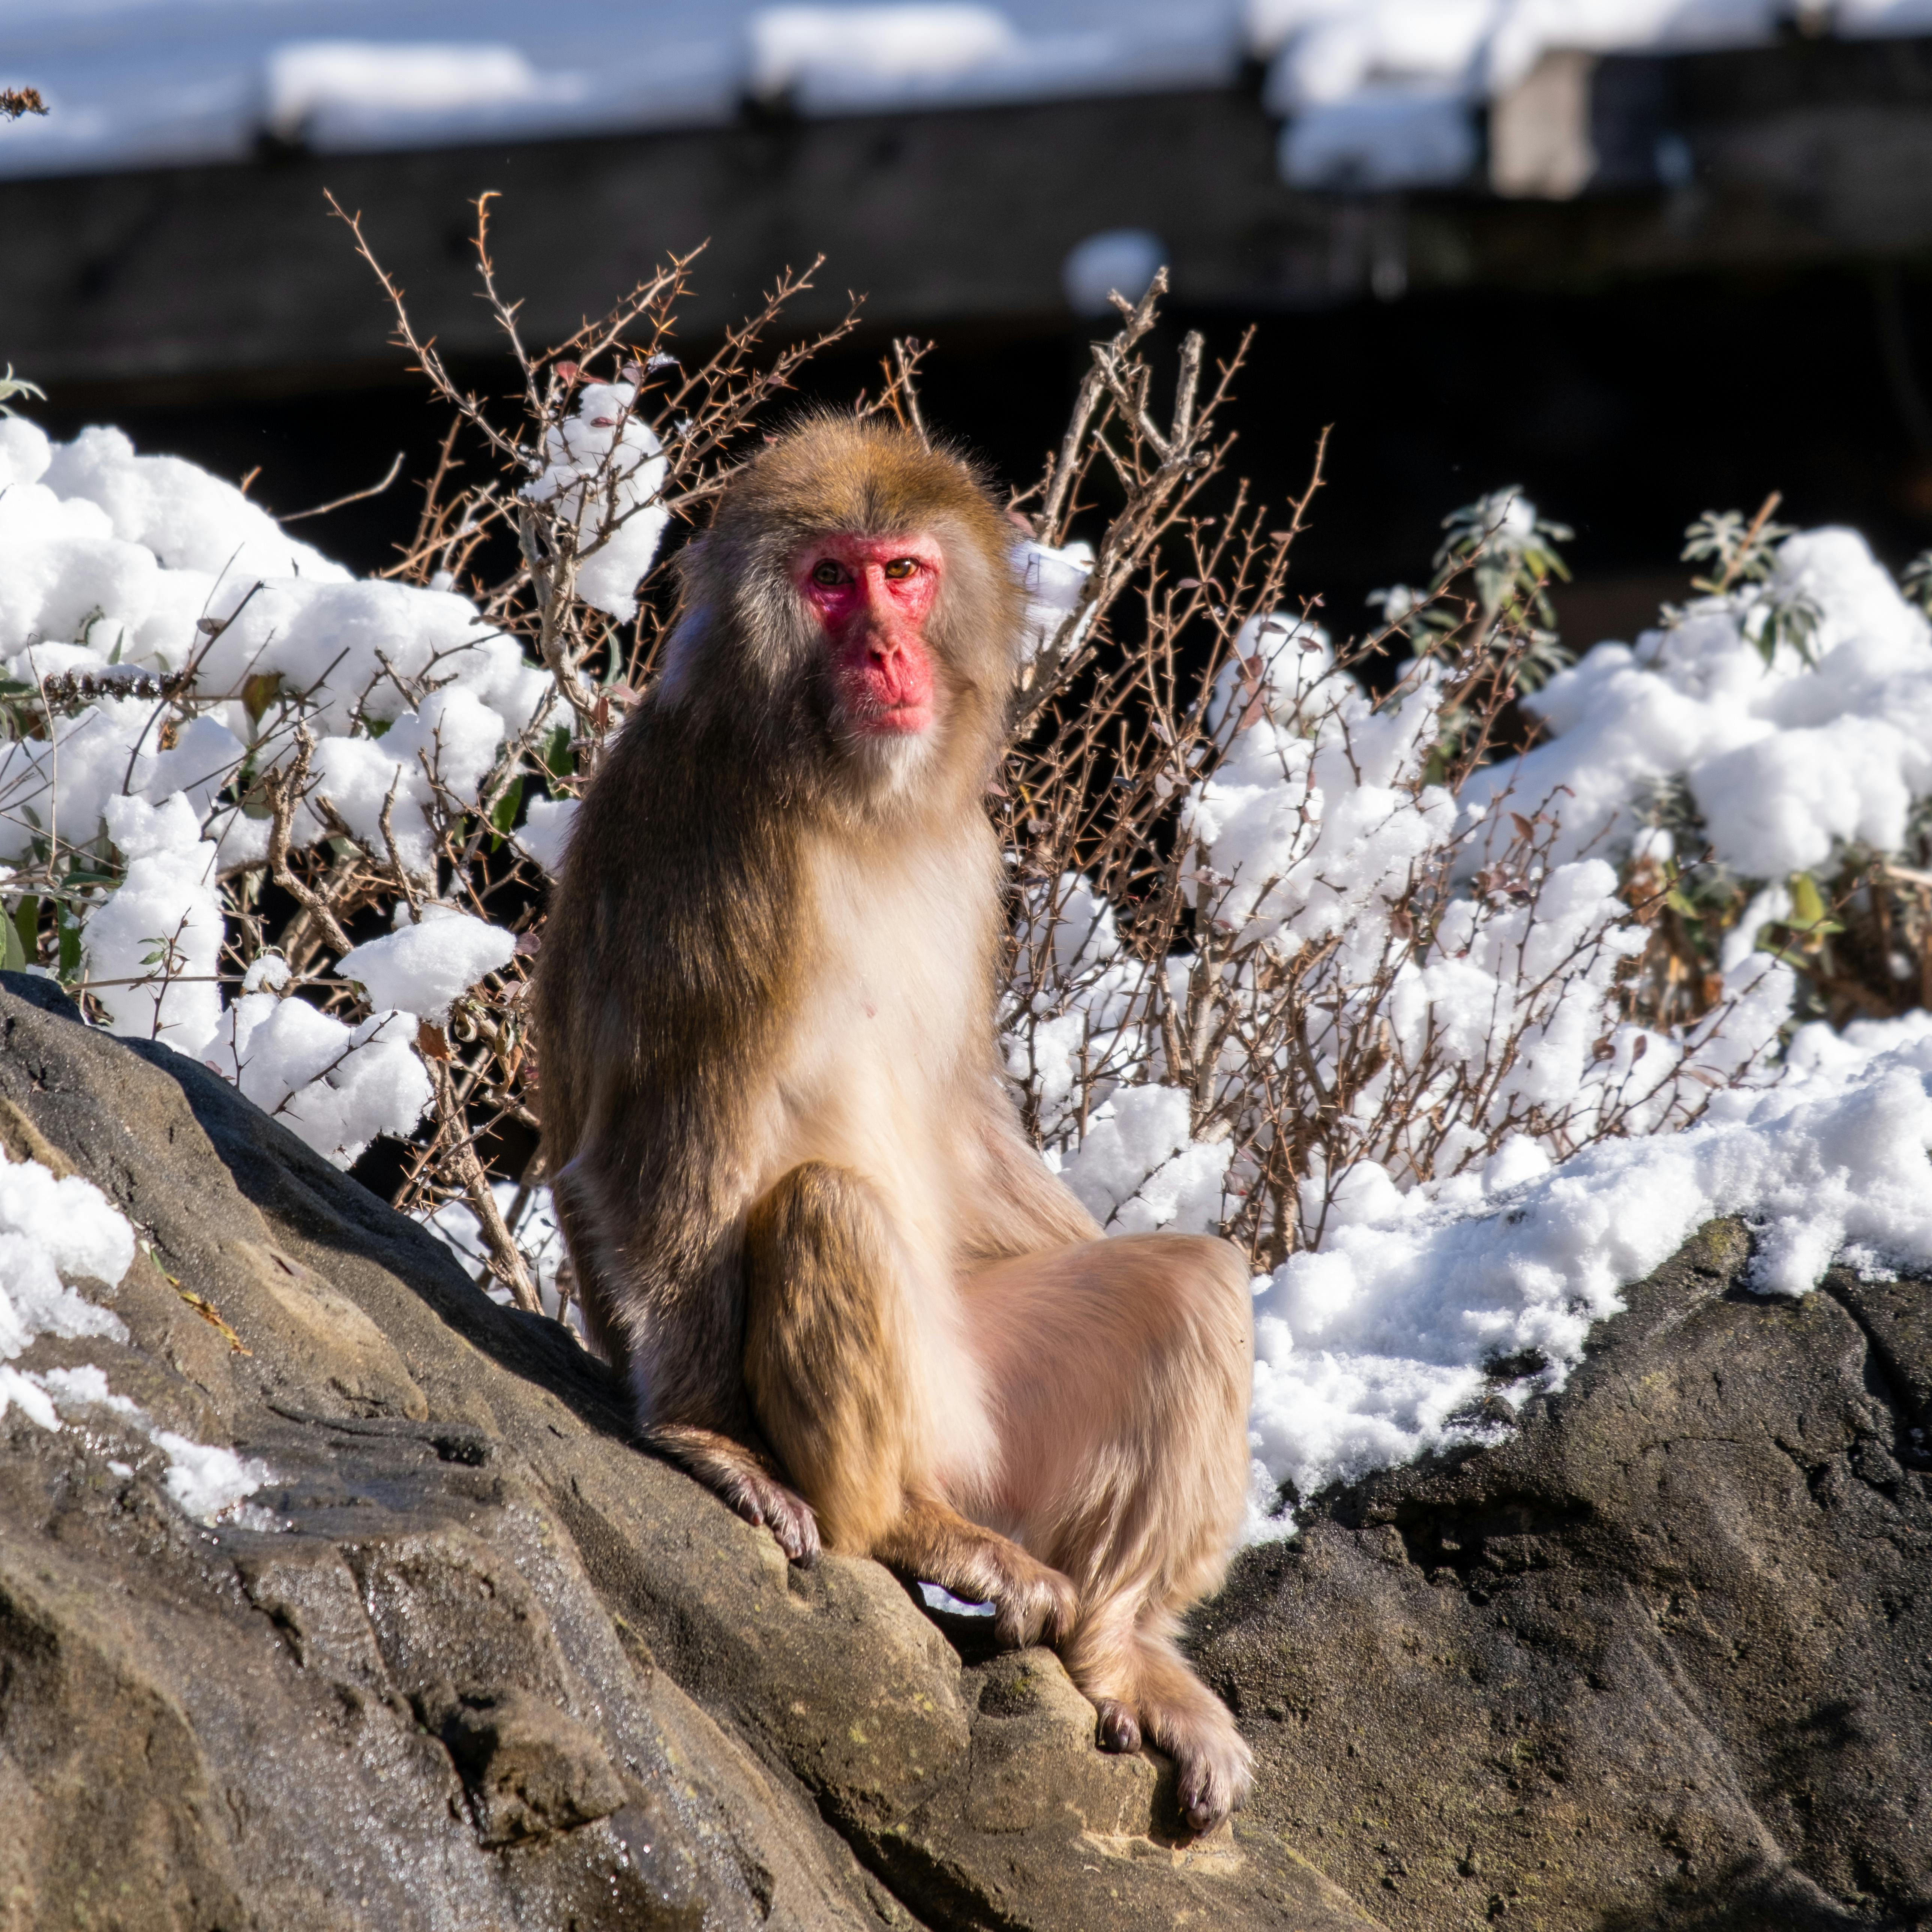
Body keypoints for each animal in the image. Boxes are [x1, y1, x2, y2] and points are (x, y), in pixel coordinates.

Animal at [535, 414, 1255, 1833]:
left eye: (905, 574)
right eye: (829, 583)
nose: (883, 649)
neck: (841, 796)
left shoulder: (969, 855)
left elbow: (961, 1111)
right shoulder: (714, 856)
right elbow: (651, 1143)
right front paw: (699, 1435)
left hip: (999, 1405)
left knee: (1193, 1286)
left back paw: (1124, 1651)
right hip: (932, 1422)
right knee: (828, 1207)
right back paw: (904, 1529)